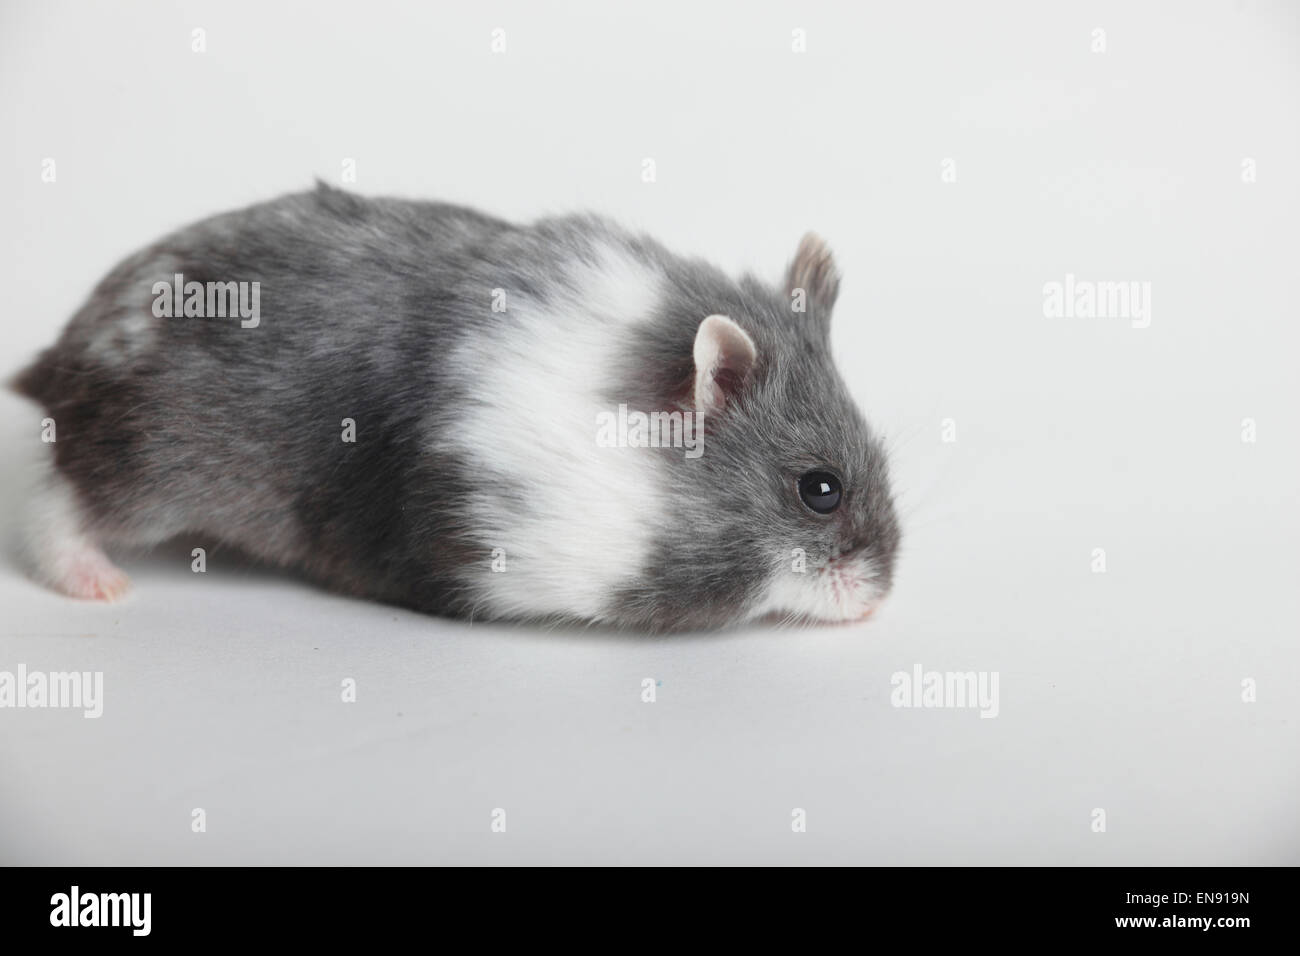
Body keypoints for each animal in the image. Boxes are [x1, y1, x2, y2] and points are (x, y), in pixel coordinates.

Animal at [12, 183, 900, 631]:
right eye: (820, 490)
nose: (881, 601)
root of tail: (58, 357)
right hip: (153, 456)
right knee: (55, 493)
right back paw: (101, 585)